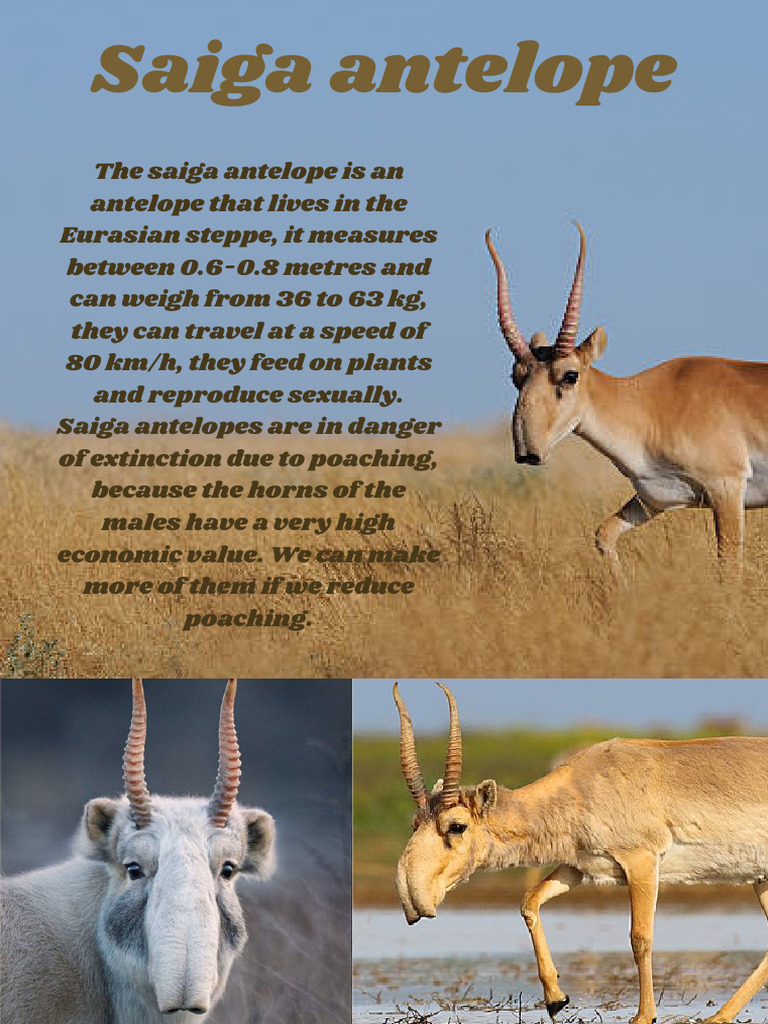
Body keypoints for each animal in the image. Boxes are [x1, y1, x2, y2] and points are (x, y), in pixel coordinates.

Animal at [394, 682, 768, 1024]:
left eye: (456, 826)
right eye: (414, 822)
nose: (412, 897)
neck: (581, 786)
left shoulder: (641, 861)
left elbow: (640, 937)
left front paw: (643, 1016)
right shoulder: (579, 868)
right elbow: (529, 902)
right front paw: (556, 999)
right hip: (761, 880)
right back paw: (718, 1015)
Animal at [487, 223, 768, 572]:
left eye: (570, 375)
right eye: (516, 376)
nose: (528, 450)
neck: (652, 404)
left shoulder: (726, 488)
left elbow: (728, 567)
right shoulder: (654, 499)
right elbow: (603, 535)